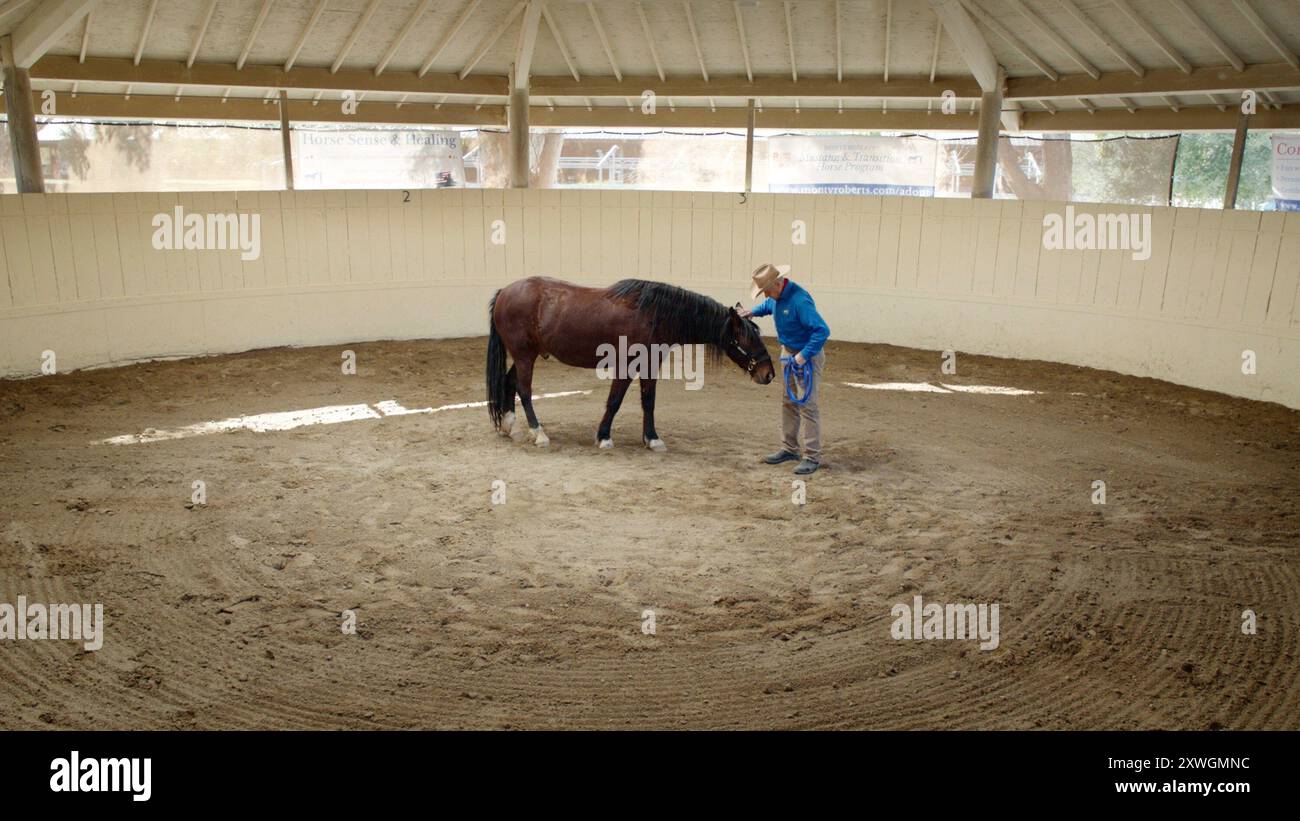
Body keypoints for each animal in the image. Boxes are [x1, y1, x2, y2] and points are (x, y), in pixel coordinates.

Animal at [486, 276, 775, 450]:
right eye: (747, 340)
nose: (768, 374)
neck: (654, 315)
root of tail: (505, 292)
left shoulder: (649, 365)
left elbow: (649, 402)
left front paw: (652, 439)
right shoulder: (626, 366)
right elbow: (615, 401)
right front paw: (604, 436)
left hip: (526, 354)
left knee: (509, 382)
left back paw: (510, 427)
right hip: (525, 355)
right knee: (524, 390)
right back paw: (538, 433)